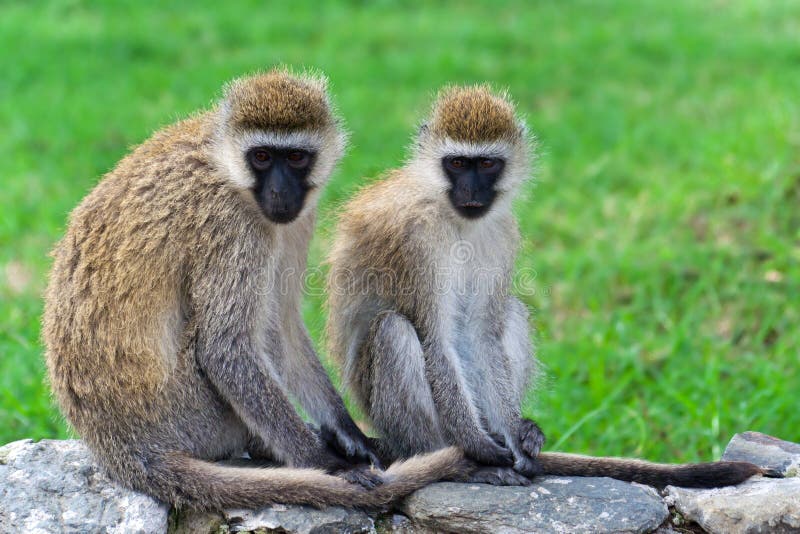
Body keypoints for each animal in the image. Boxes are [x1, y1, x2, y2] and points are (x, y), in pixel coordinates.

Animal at [42, 70, 469, 511]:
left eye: (295, 157)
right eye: (262, 156)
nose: (280, 192)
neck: (226, 162)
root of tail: (121, 447)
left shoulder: (295, 217)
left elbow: (282, 322)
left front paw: (348, 434)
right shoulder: (233, 224)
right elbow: (225, 347)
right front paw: (329, 465)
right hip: (192, 416)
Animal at [325, 85, 769, 488]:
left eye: (487, 164)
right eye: (458, 163)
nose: (471, 192)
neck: (452, 215)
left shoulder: (503, 233)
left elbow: (478, 334)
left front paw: (514, 434)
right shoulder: (415, 242)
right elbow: (436, 339)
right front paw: (479, 446)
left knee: (509, 311)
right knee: (393, 329)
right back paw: (456, 460)